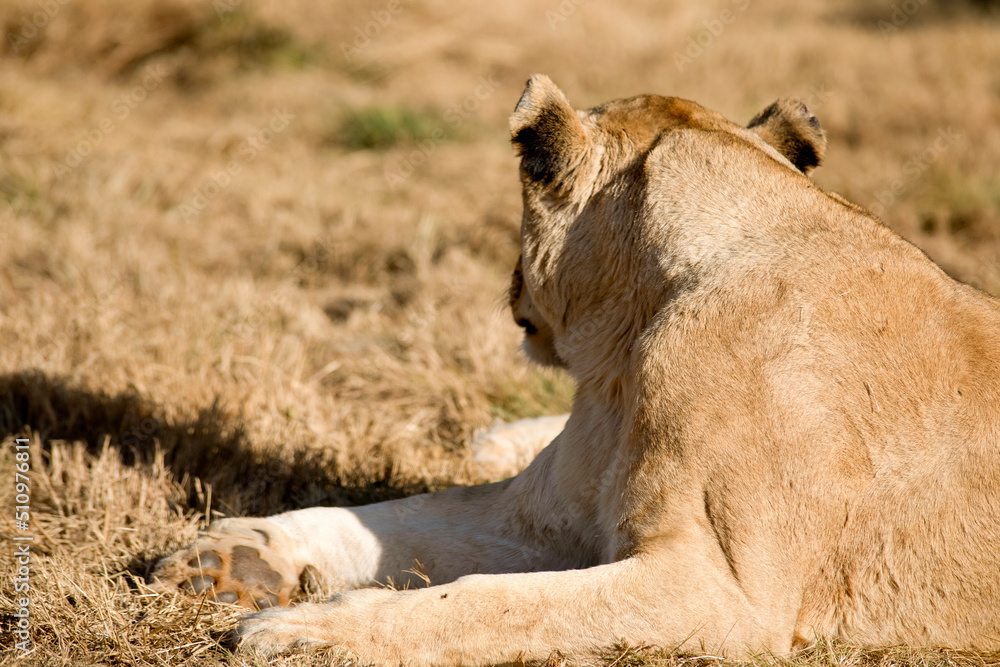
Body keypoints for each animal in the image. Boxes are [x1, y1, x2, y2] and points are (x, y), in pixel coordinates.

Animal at [150, 75, 1000, 664]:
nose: (511, 287)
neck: (626, 348)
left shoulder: (725, 592)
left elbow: (482, 603)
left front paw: (309, 628)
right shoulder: (539, 514)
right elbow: (394, 516)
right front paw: (228, 556)